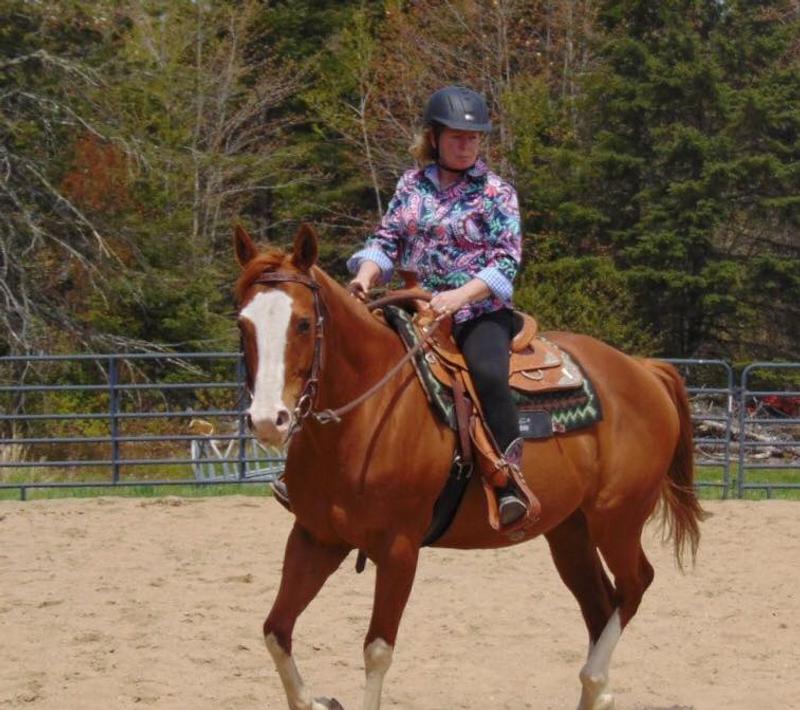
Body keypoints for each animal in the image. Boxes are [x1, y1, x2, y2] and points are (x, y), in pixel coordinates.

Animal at [233, 222, 705, 710]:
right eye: (242, 323)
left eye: (304, 323)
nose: (269, 420)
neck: (366, 416)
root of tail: (643, 370)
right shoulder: (315, 538)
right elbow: (275, 631)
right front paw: (319, 701)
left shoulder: (399, 549)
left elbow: (376, 651)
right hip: (570, 531)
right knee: (601, 605)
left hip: (618, 518)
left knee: (635, 584)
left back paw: (595, 677)